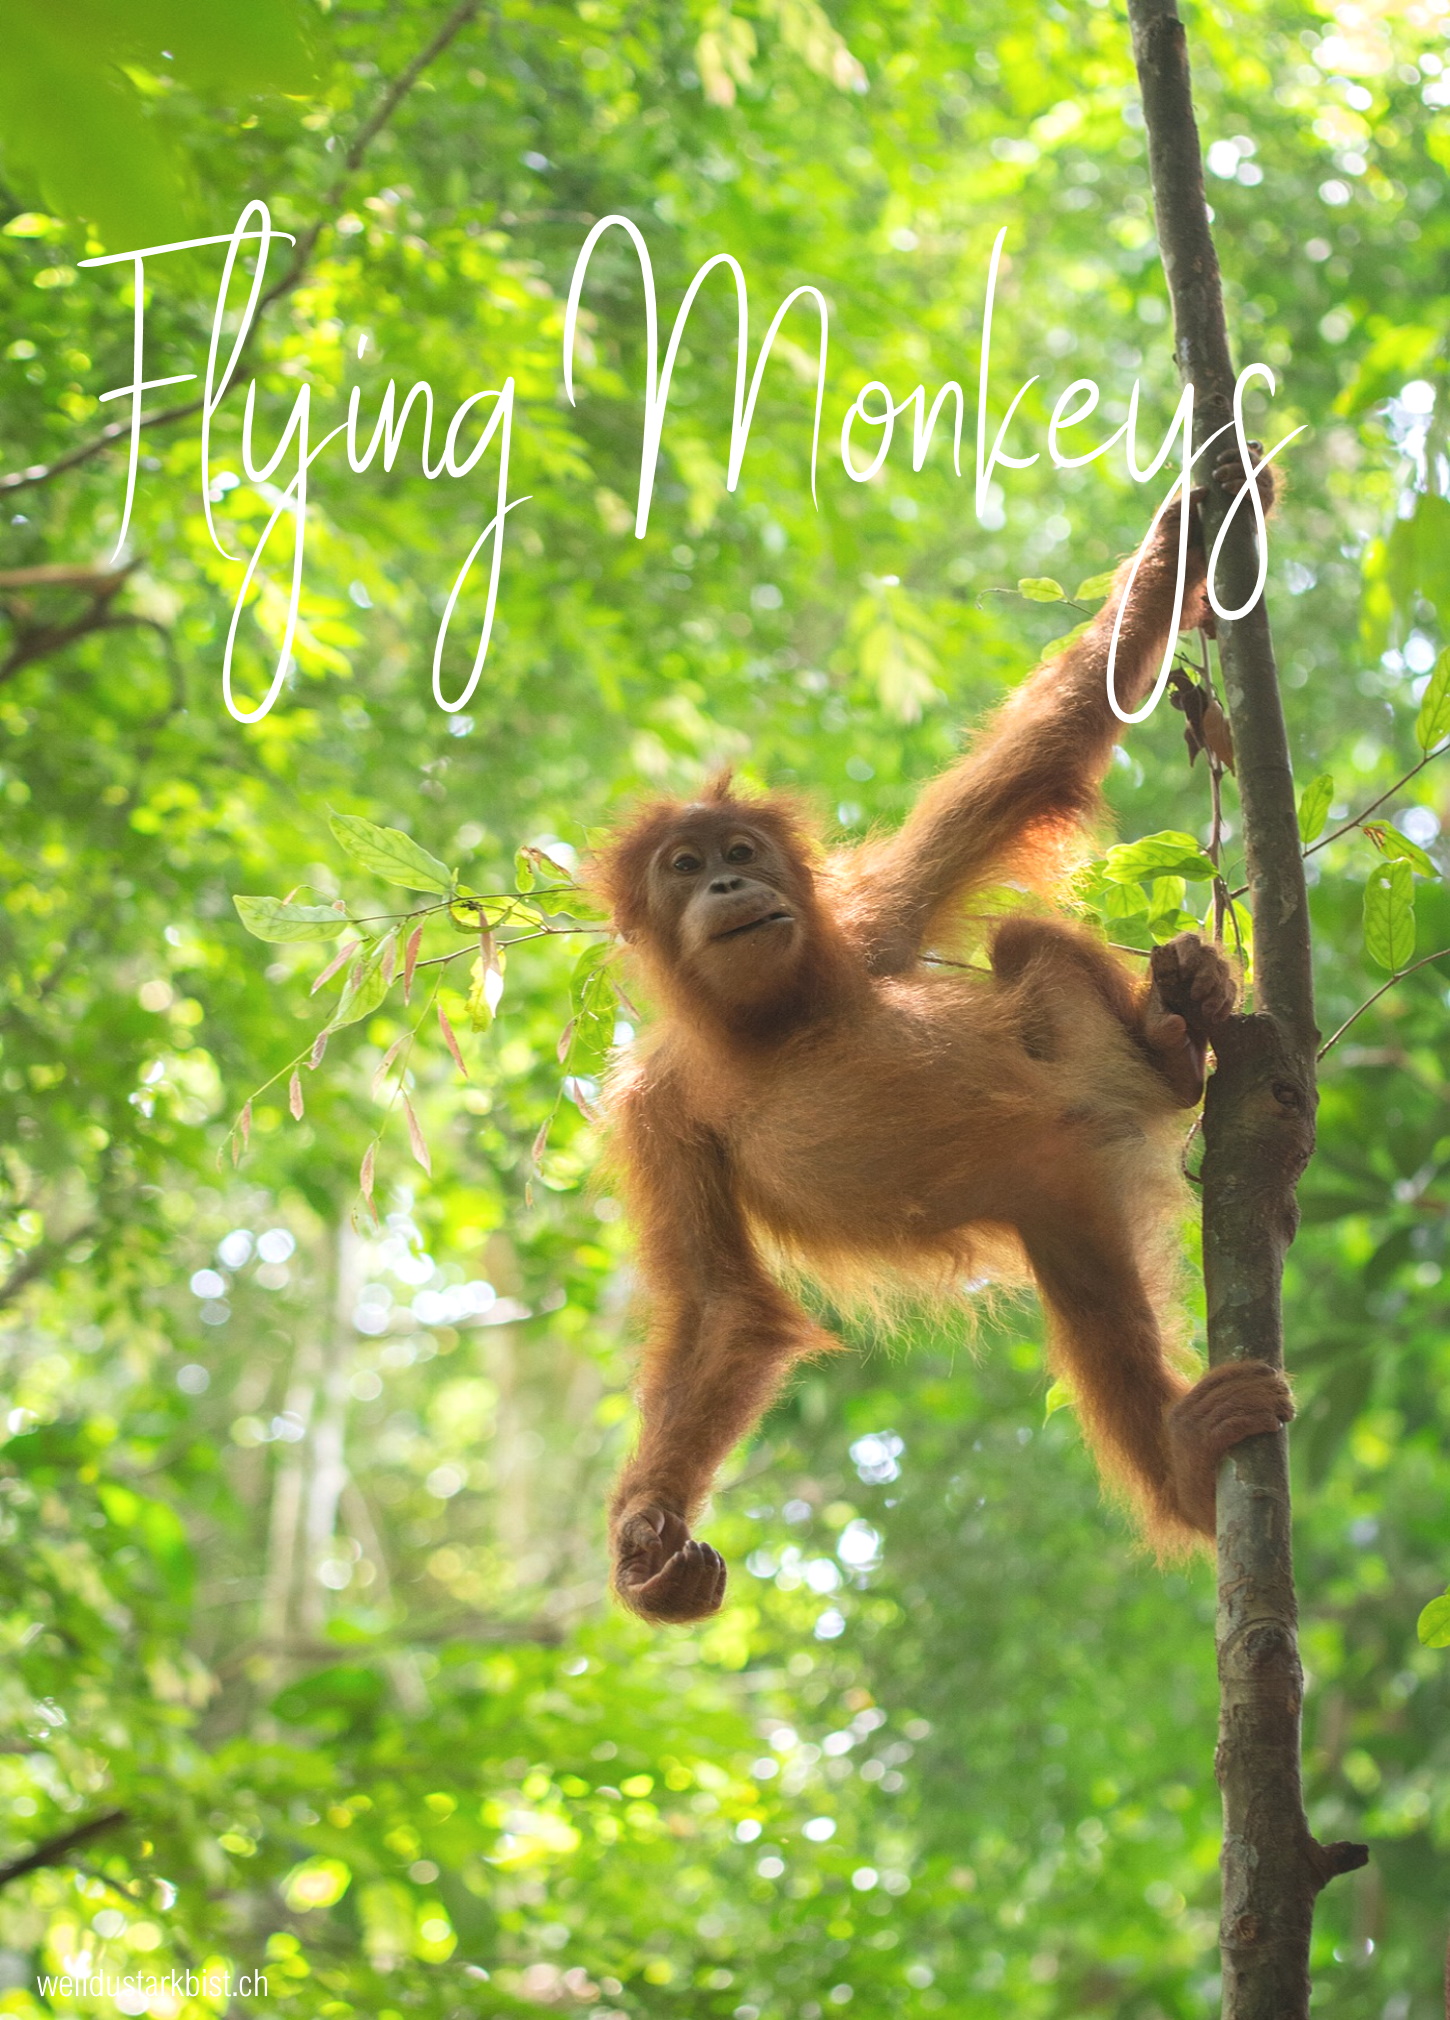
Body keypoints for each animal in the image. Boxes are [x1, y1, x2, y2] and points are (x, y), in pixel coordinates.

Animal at [592, 460, 1292, 1625]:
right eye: (683, 868)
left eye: (740, 852)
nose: (729, 885)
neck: (772, 1022)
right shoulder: (653, 1111)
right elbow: (721, 1311)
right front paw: (649, 1544)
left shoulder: (869, 921)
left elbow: (1026, 773)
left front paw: (1198, 519)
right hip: (1060, 1201)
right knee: (1097, 1315)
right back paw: (1190, 1467)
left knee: (1022, 944)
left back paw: (1171, 1031)